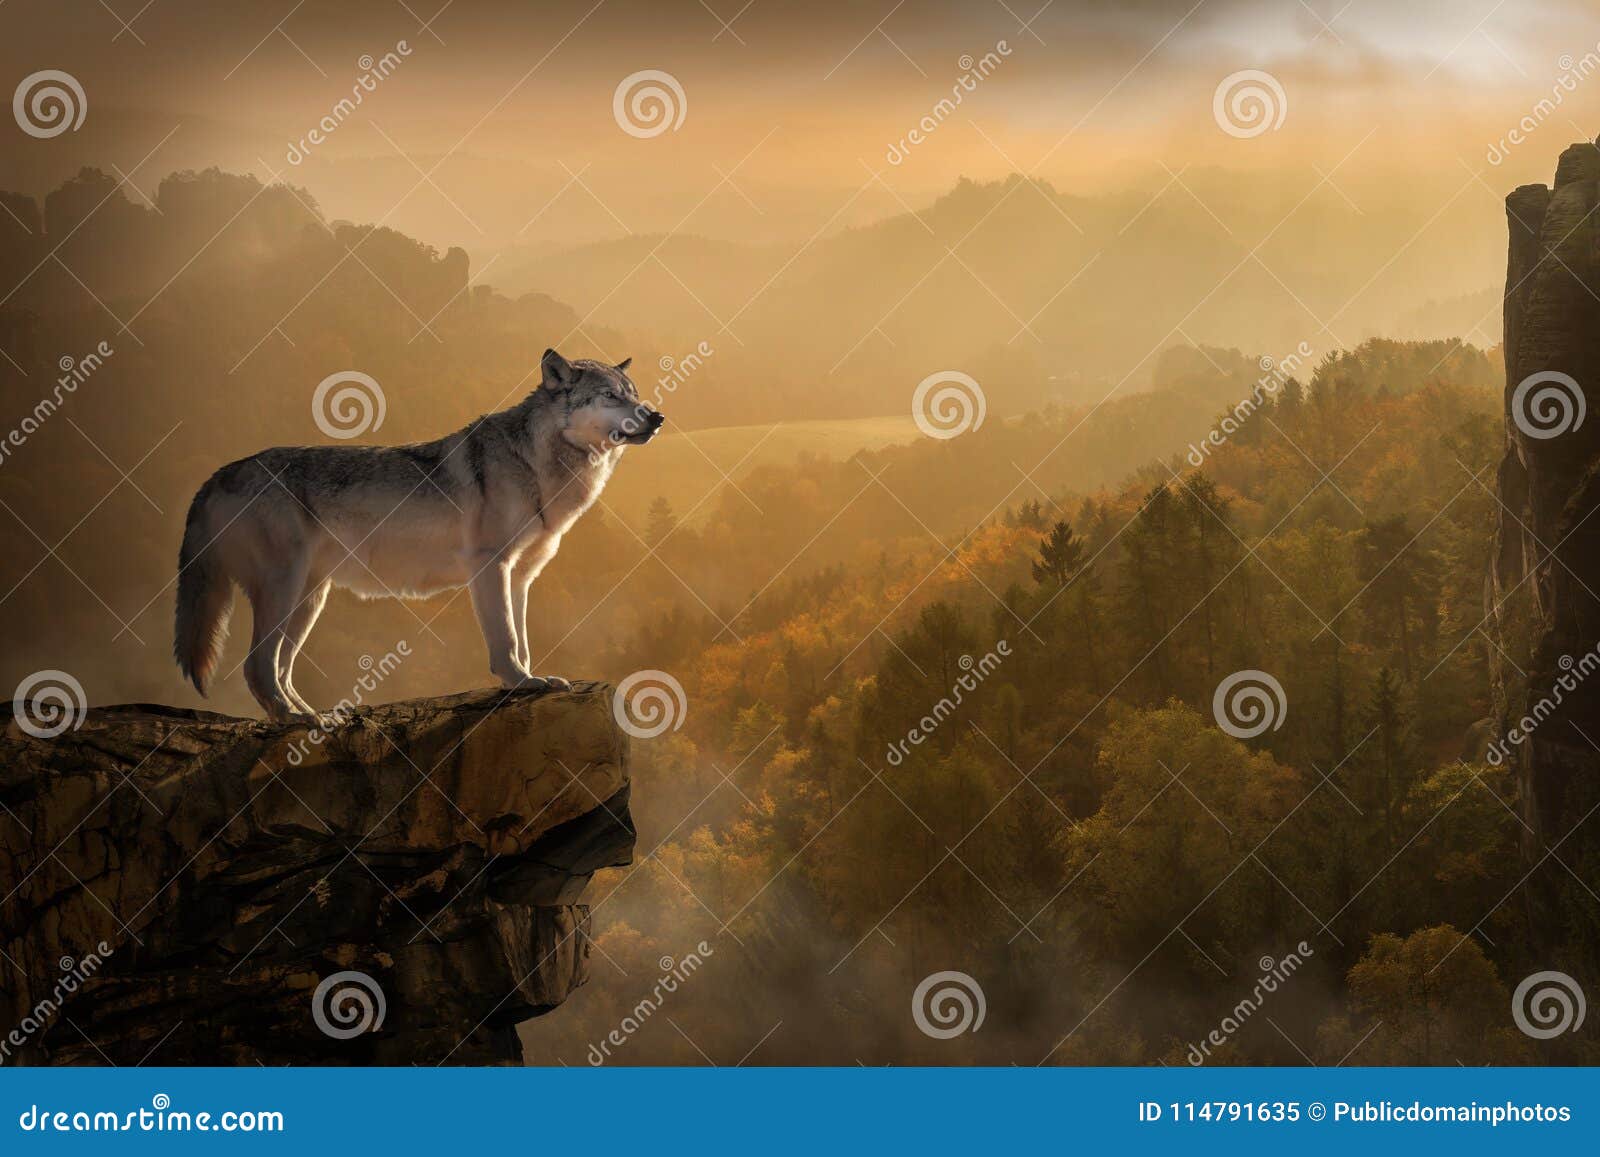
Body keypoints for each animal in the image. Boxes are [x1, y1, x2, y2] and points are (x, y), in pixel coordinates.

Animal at [173, 349, 664, 720]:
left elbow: (522, 641)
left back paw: (312, 714)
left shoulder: (521, 576)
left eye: (634, 395)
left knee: (280, 668)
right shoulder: (490, 567)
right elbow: (506, 640)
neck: (540, 464)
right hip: (285, 591)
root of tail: (218, 474)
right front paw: (521, 682)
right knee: (257, 666)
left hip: (310, 600)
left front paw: (530, 680)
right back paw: (297, 721)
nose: (657, 416)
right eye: (610, 396)